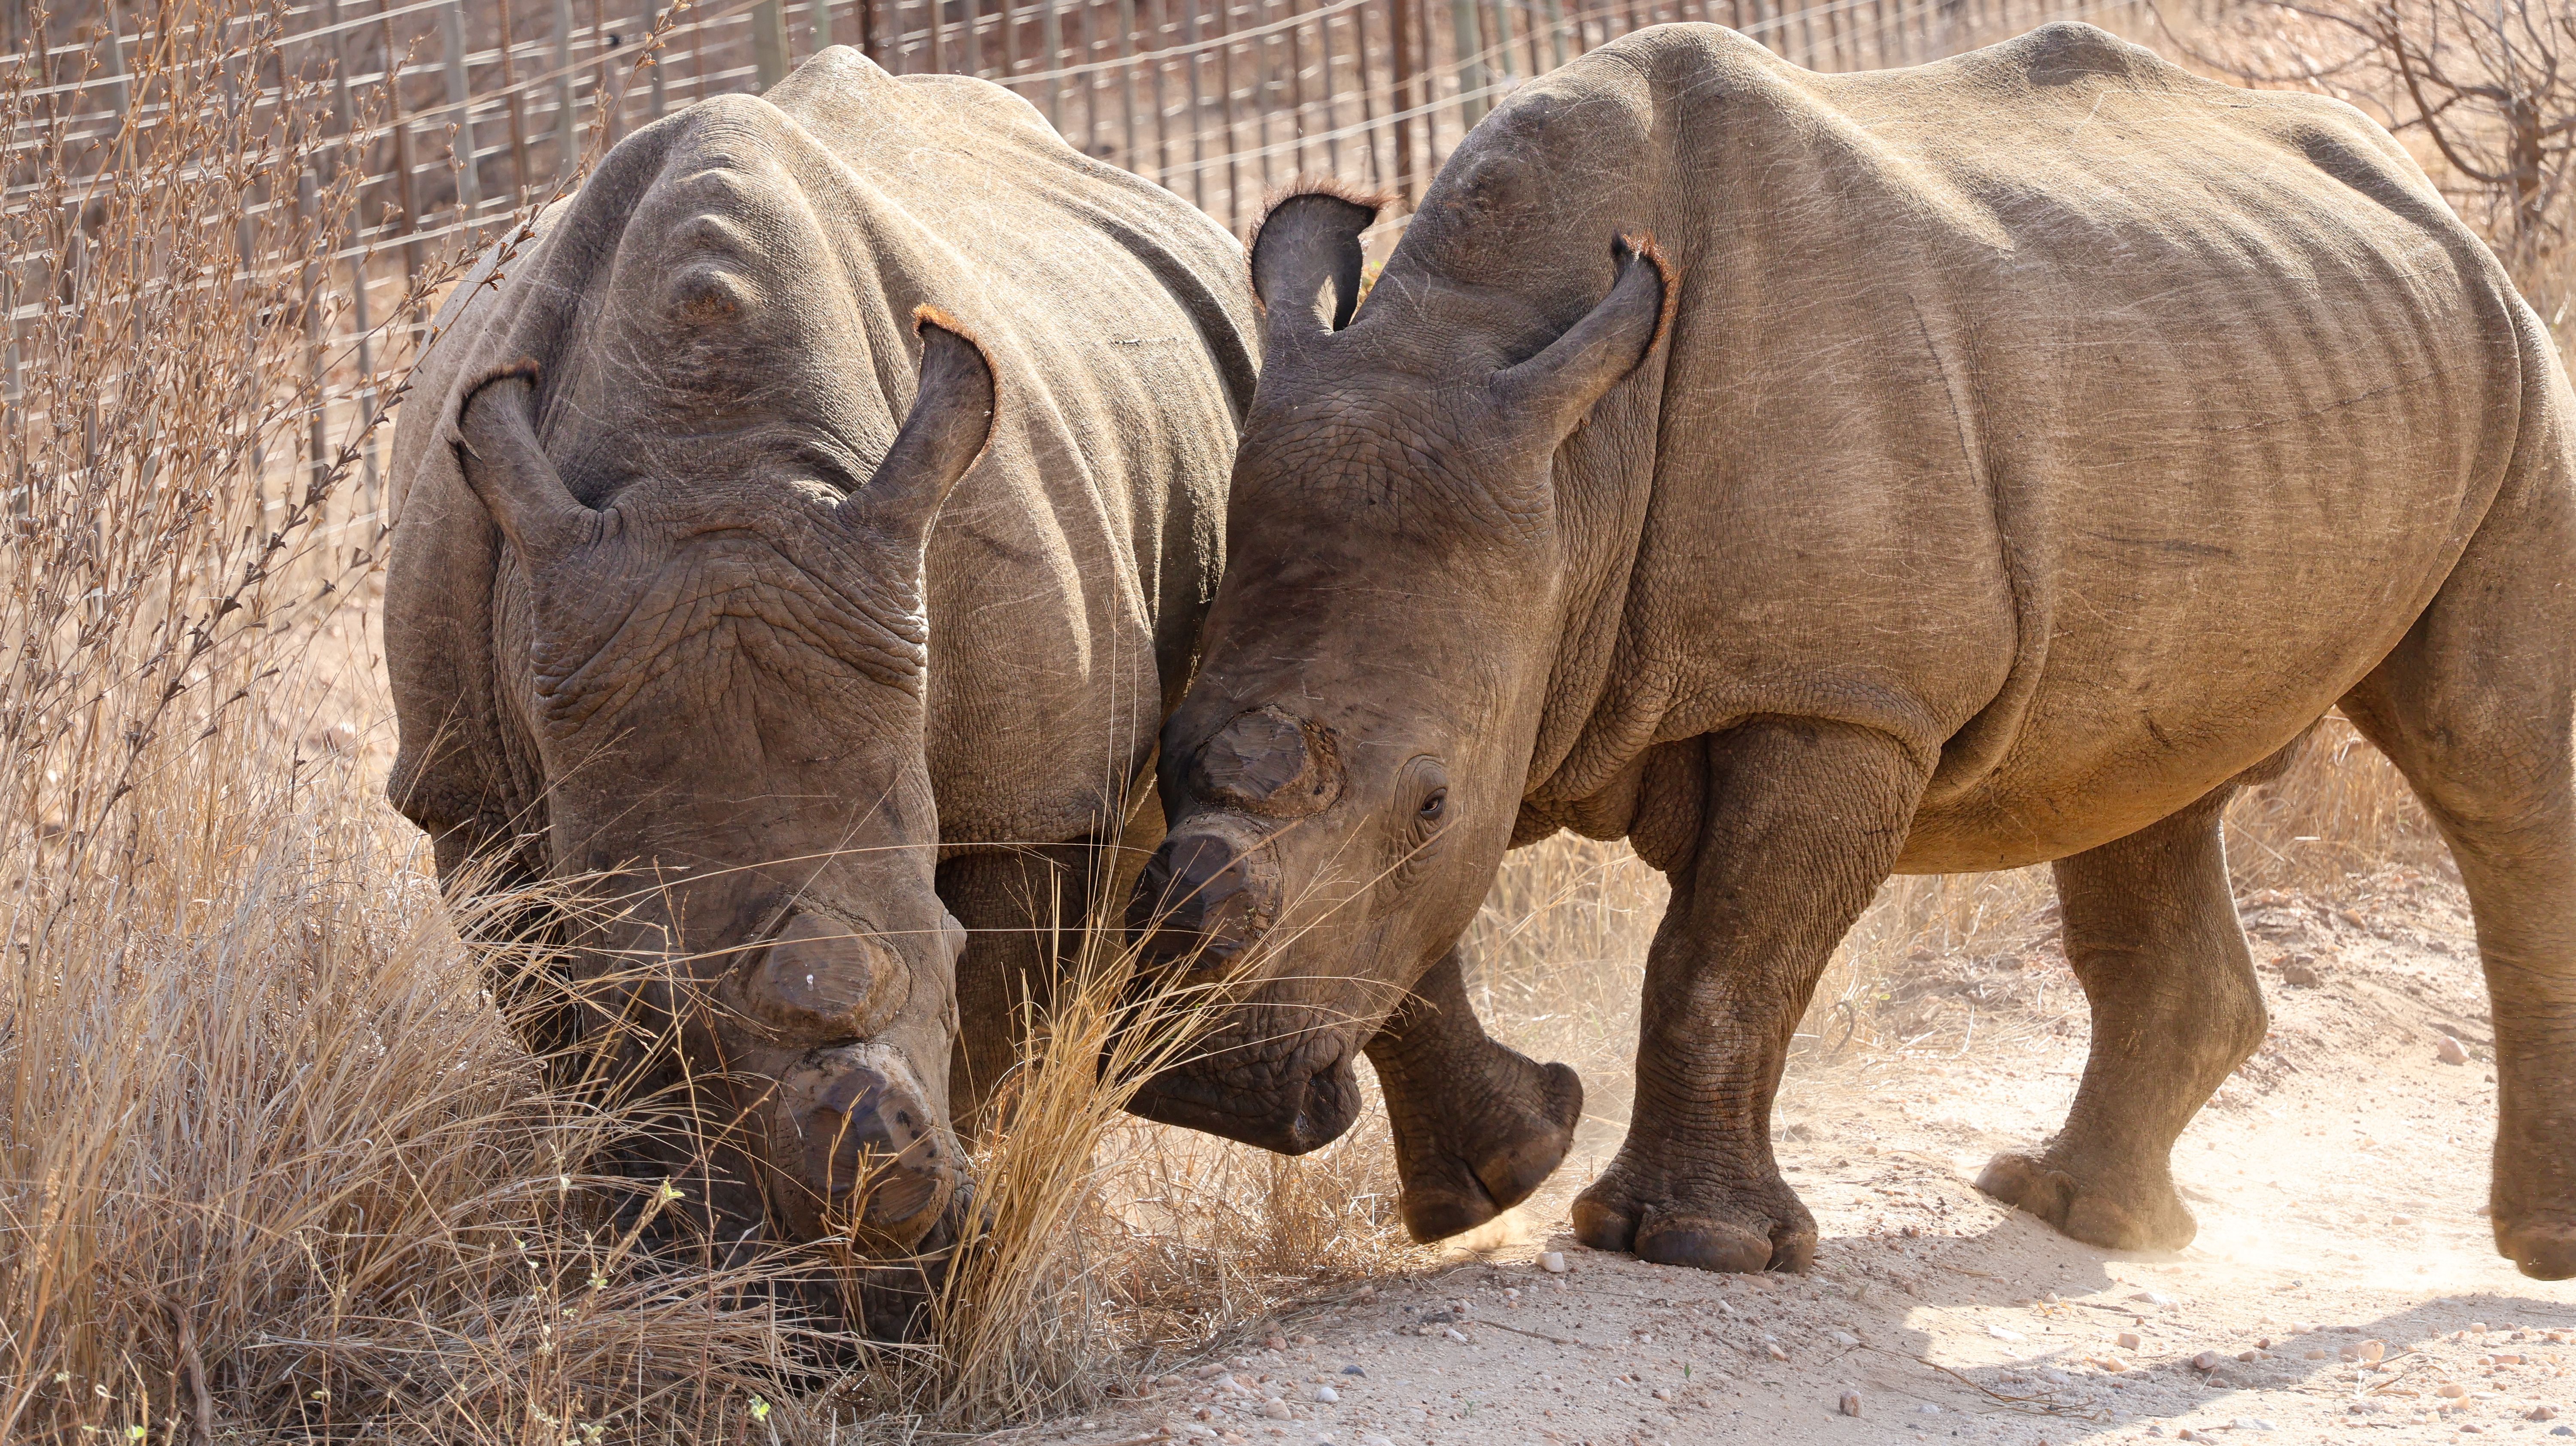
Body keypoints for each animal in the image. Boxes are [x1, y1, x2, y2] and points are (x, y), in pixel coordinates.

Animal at [383, 49, 1266, 1271]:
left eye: (944, 944)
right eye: (642, 1002)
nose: (875, 1204)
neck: (713, 458)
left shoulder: (1029, 797)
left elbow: (998, 1026)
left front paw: (928, 1270)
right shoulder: (465, 800)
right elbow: (573, 1044)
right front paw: (671, 1249)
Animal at [1127, 21, 2576, 1281]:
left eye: (1422, 801)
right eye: (1164, 751)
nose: (1210, 1089)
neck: (1562, 456)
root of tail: (2422, 194)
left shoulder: (1840, 698)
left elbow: (1722, 962)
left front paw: (1685, 1247)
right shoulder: (1491, 646)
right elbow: (1406, 938)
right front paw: (1500, 1181)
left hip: (2509, 364)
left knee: (2490, 767)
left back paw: (2531, 1249)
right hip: (2244, 369)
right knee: (2140, 773)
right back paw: (2079, 1216)